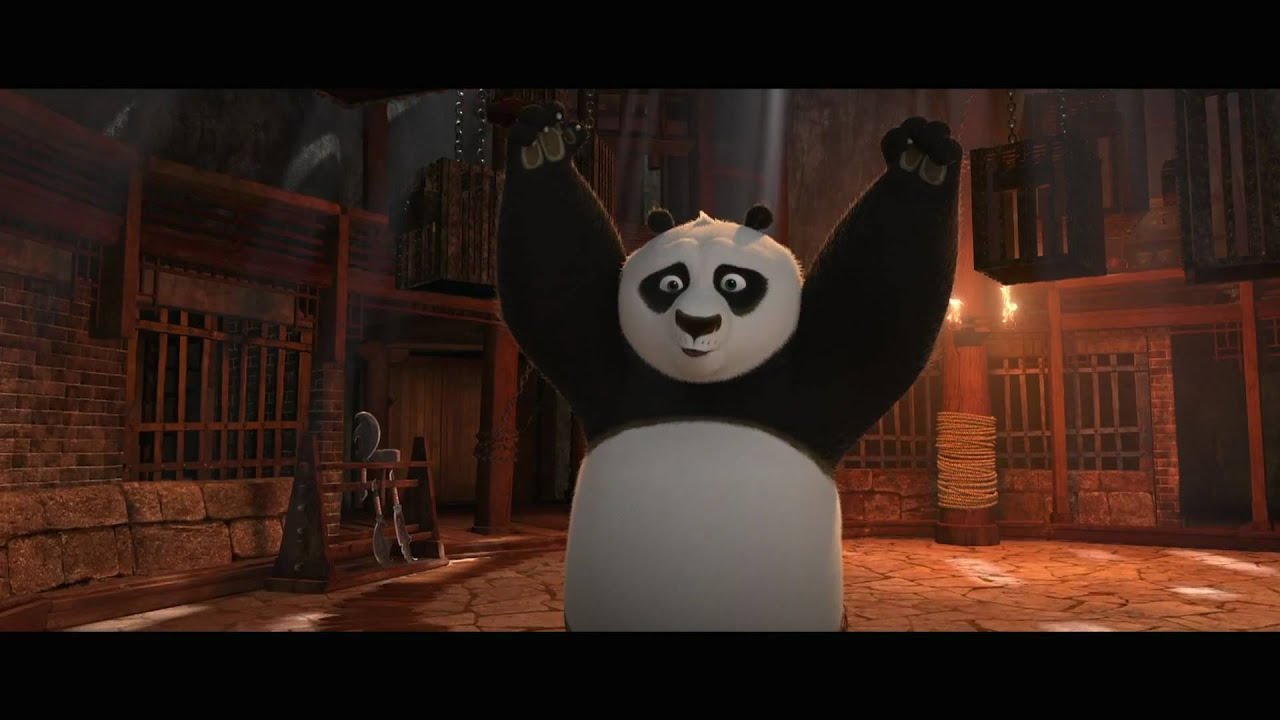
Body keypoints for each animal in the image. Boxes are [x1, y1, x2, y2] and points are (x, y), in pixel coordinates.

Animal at [496, 101, 960, 631]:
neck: (707, 386)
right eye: (670, 283)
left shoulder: (808, 384)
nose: (697, 324)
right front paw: (542, 143)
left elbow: (881, 301)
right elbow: (554, 282)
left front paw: (920, 157)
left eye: (733, 283)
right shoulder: (614, 373)